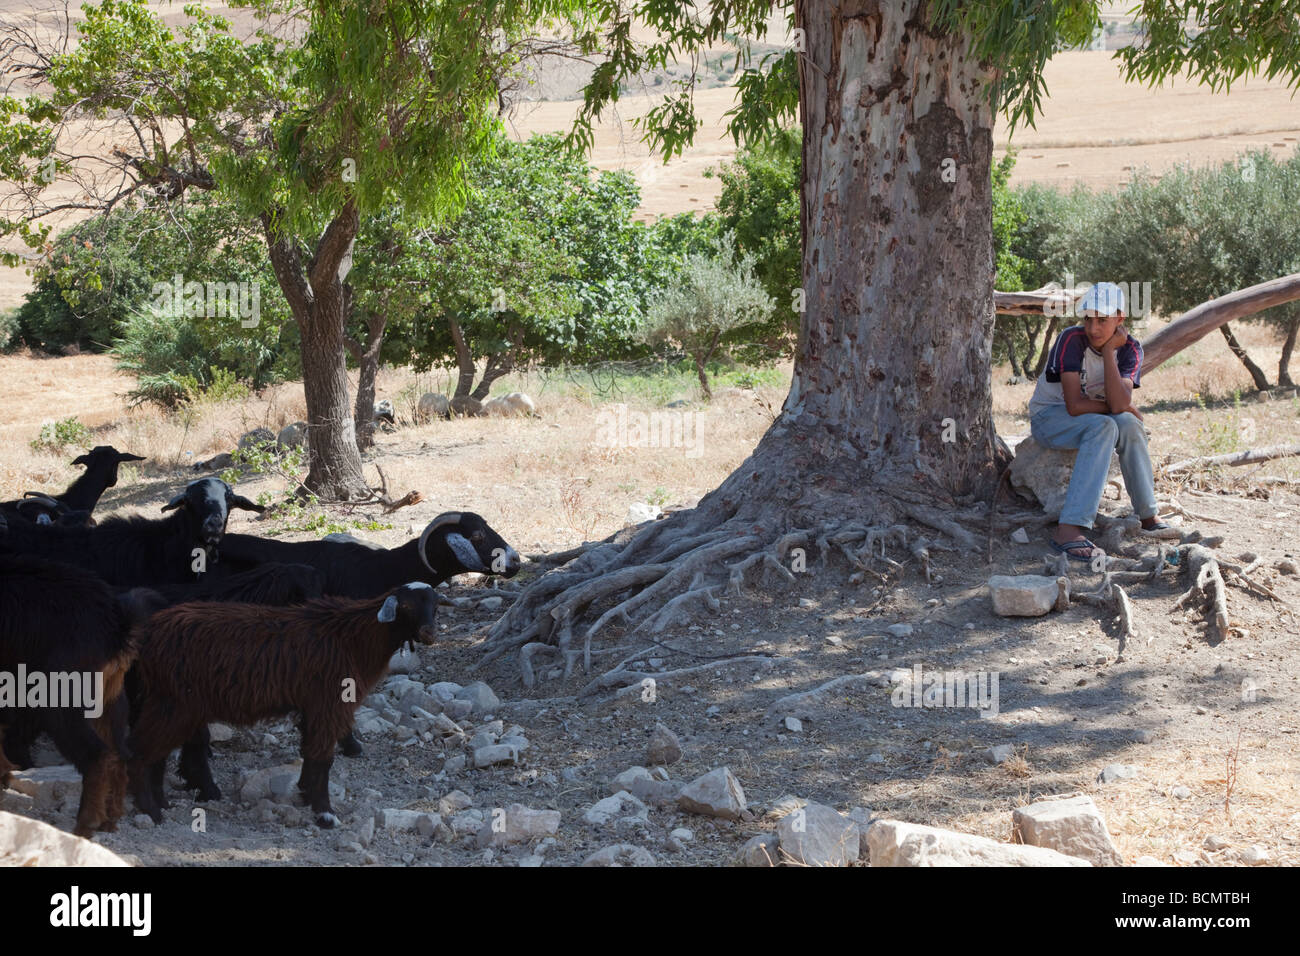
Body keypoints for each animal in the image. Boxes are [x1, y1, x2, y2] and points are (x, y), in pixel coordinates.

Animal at [0, 555, 156, 837]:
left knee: (96, 755)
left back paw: (85, 824)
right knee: (119, 755)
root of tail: (116, 625)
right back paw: (109, 820)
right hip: (110, 699)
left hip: (59, 698)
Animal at [126, 582, 439, 828]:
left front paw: (305, 794)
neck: (354, 637)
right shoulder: (328, 705)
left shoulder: (313, 707)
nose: (429, 632)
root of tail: (151, 634)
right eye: (406, 606)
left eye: (434, 605)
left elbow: (310, 753)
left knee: (157, 754)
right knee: (141, 752)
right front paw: (325, 814)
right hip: (174, 704)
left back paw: (161, 802)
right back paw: (151, 811)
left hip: (169, 703)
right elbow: (323, 759)